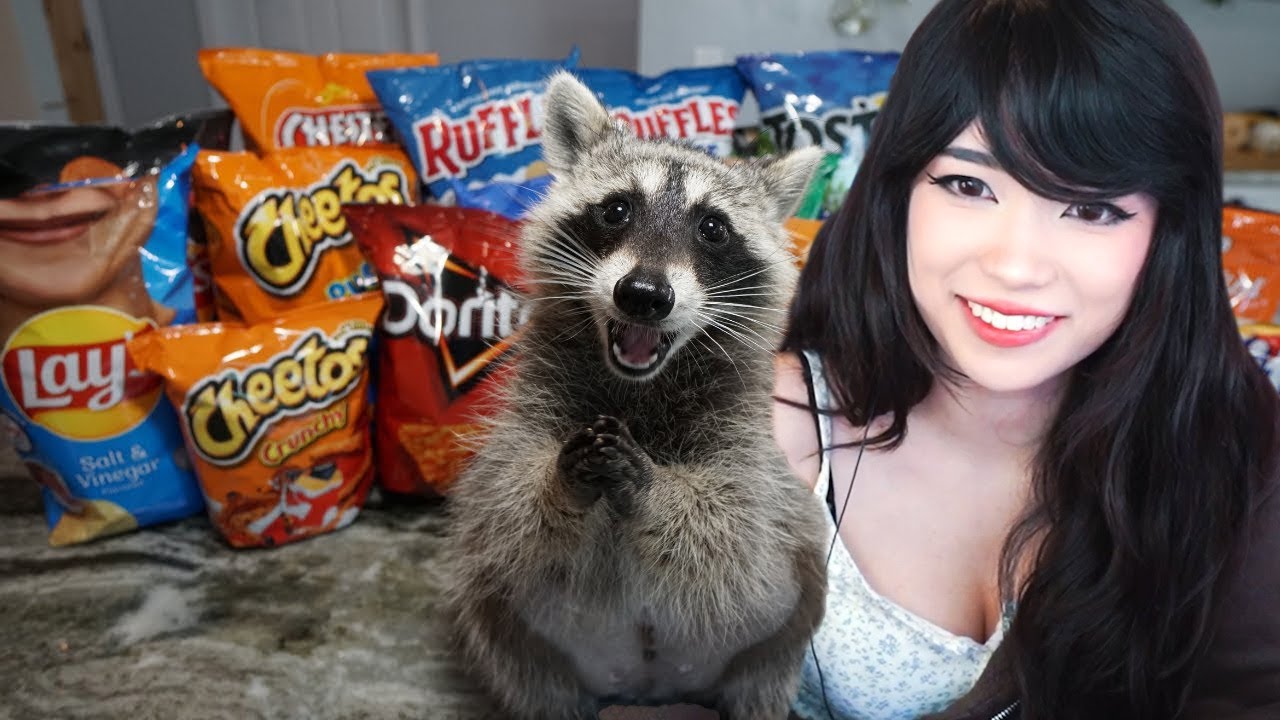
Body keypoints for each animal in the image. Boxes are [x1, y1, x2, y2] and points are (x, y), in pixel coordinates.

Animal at [442, 71, 828, 720]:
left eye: (712, 227)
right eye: (616, 209)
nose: (644, 295)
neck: (636, 388)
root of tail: (648, 696)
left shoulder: (754, 462)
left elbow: (743, 548)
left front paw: (654, 488)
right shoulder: (528, 421)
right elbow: (501, 521)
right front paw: (556, 484)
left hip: (774, 653)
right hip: (518, 647)